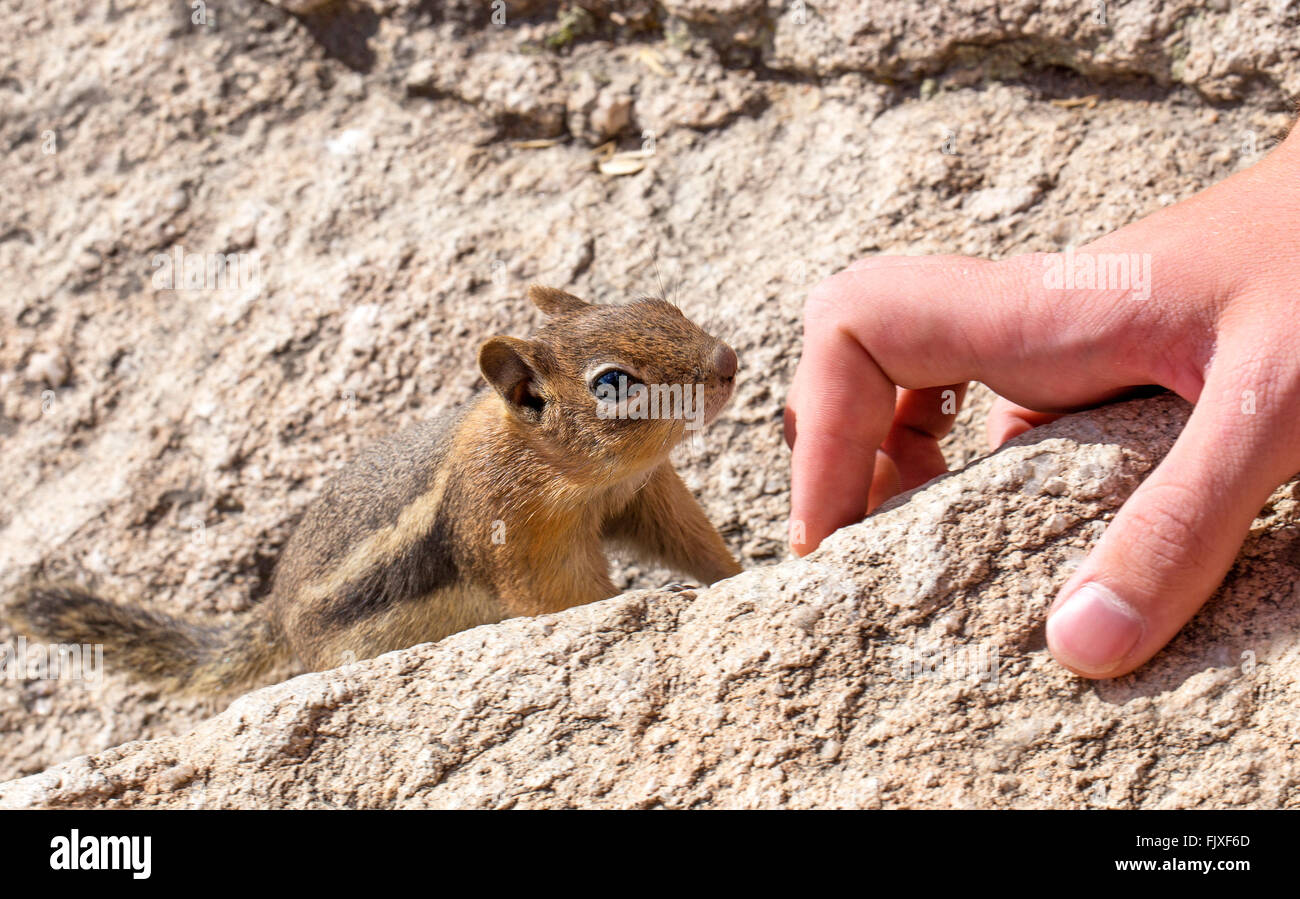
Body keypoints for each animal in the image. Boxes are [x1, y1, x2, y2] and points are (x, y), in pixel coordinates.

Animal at [8, 285, 742, 694]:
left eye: (660, 305)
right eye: (613, 384)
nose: (727, 359)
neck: (575, 476)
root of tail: (276, 613)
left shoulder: (646, 493)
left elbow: (692, 540)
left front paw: (741, 572)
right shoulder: (520, 542)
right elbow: (565, 601)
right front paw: (647, 599)